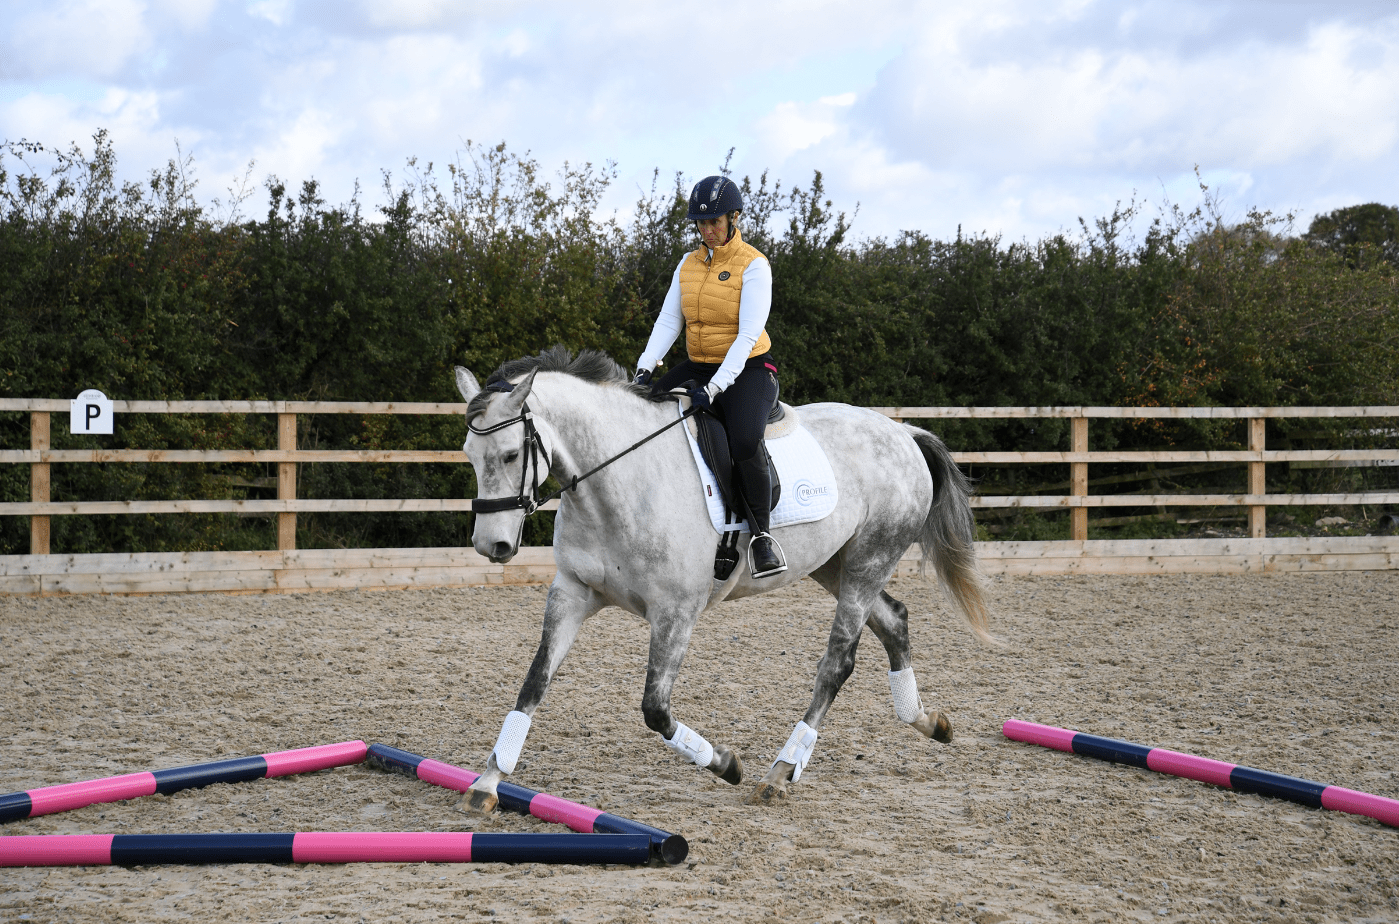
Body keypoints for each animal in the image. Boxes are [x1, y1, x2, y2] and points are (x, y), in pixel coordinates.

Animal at [454, 346, 992, 808]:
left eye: (509, 455)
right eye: (470, 455)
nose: (491, 546)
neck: (619, 480)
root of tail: (904, 434)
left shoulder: (675, 612)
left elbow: (655, 709)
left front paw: (727, 765)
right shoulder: (571, 592)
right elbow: (534, 683)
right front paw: (487, 783)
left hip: (868, 561)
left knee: (837, 663)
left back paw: (780, 772)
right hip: (834, 565)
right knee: (894, 620)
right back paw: (927, 721)